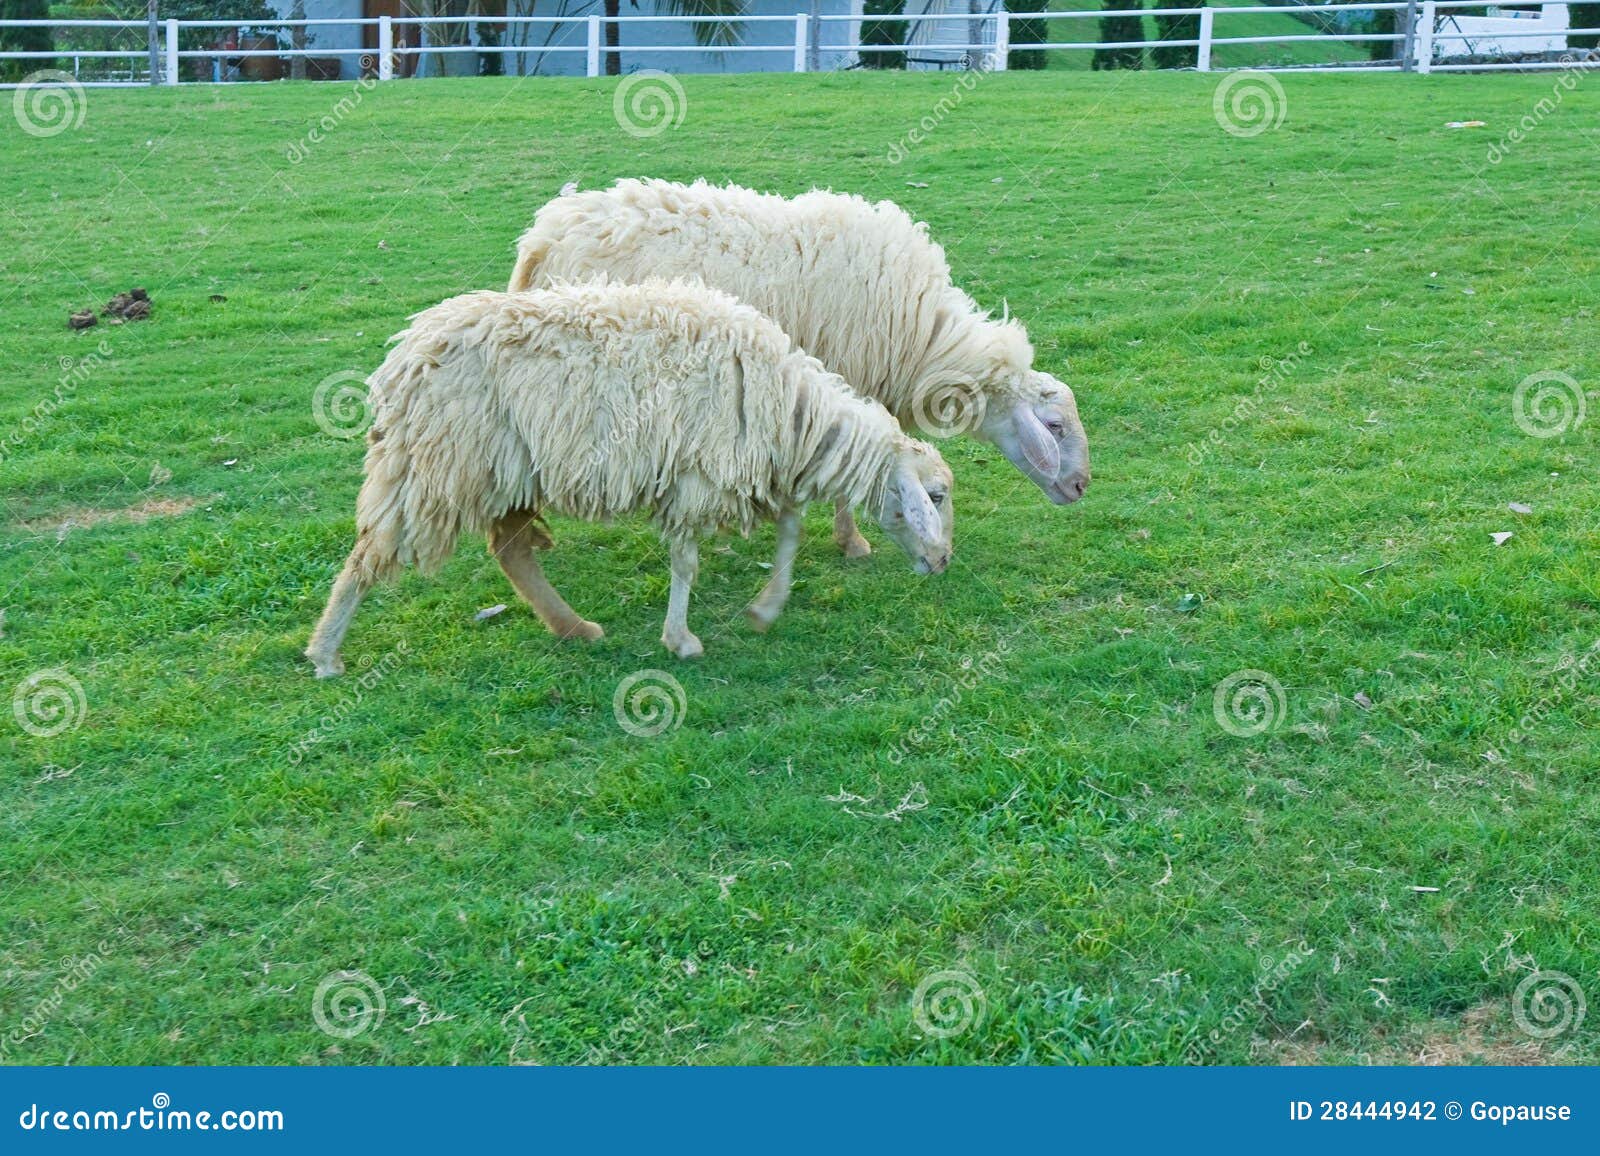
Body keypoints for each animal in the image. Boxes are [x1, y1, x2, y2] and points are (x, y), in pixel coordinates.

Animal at [305, 279, 954, 677]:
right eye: (936, 496)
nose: (943, 562)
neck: (796, 412)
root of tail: (404, 354)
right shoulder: (699, 476)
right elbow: (687, 562)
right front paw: (681, 640)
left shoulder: (757, 469)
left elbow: (790, 535)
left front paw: (765, 609)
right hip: (433, 466)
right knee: (368, 553)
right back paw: (326, 652)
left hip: (503, 471)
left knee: (511, 550)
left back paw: (571, 627)